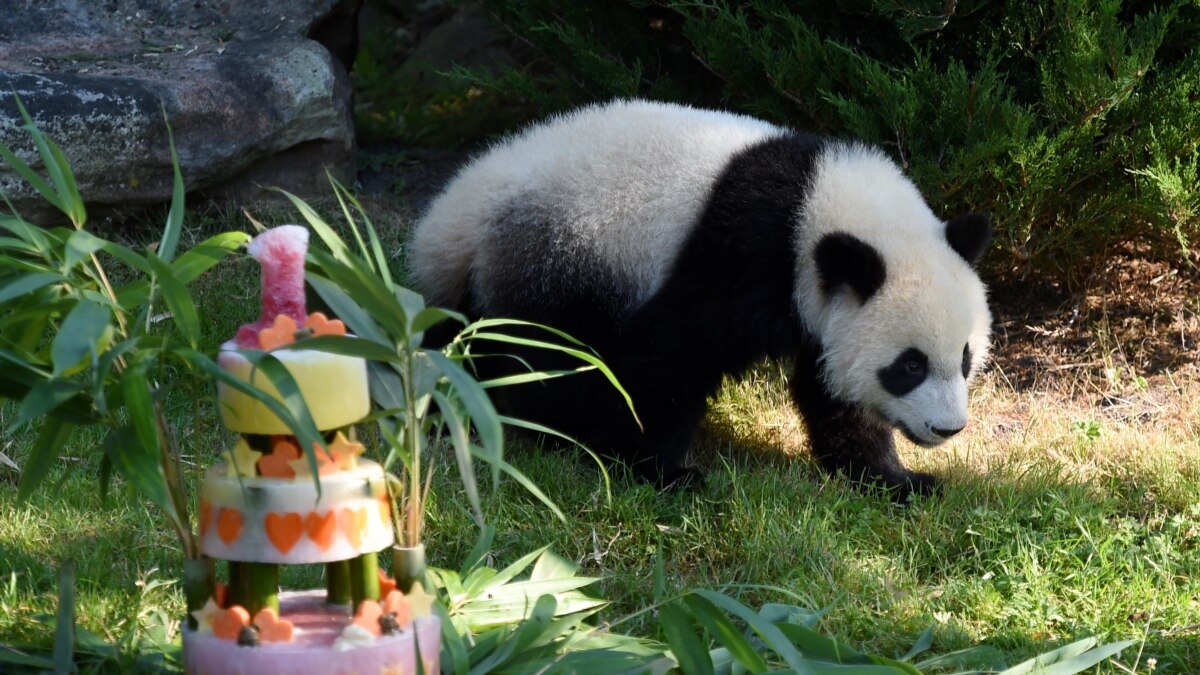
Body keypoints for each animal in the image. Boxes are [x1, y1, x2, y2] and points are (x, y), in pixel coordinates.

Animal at [410, 99, 992, 498]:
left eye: (964, 358)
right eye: (909, 366)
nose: (947, 428)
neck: (818, 201)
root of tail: (451, 218)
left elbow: (832, 391)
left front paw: (898, 480)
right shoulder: (744, 249)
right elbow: (673, 353)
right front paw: (663, 472)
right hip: (563, 256)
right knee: (547, 356)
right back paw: (556, 430)